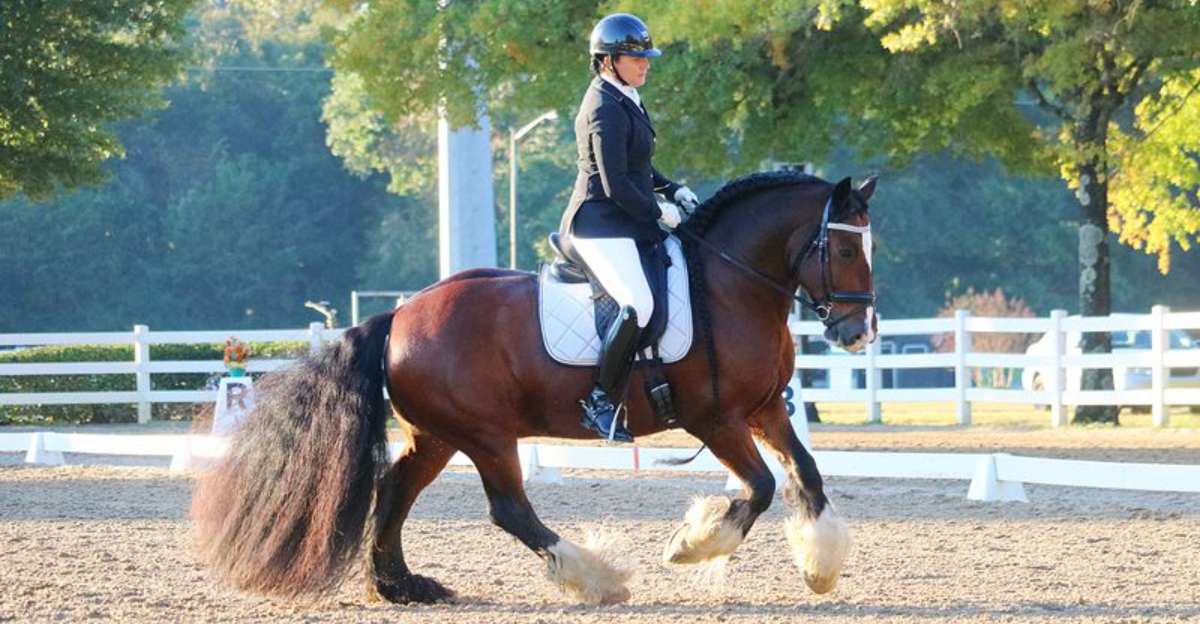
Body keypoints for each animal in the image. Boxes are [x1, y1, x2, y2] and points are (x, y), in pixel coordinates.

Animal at [191, 170, 878, 605]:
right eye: (845, 252)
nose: (857, 332)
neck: (729, 285)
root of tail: (401, 316)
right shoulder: (716, 420)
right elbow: (759, 487)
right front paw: (691, 545)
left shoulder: (763, 410)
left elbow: (807, 475)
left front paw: (819, 566)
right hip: (485, 435)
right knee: (509, 510)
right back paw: (596, 579)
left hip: (435, 435)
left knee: (395, 491)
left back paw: (404, 588)